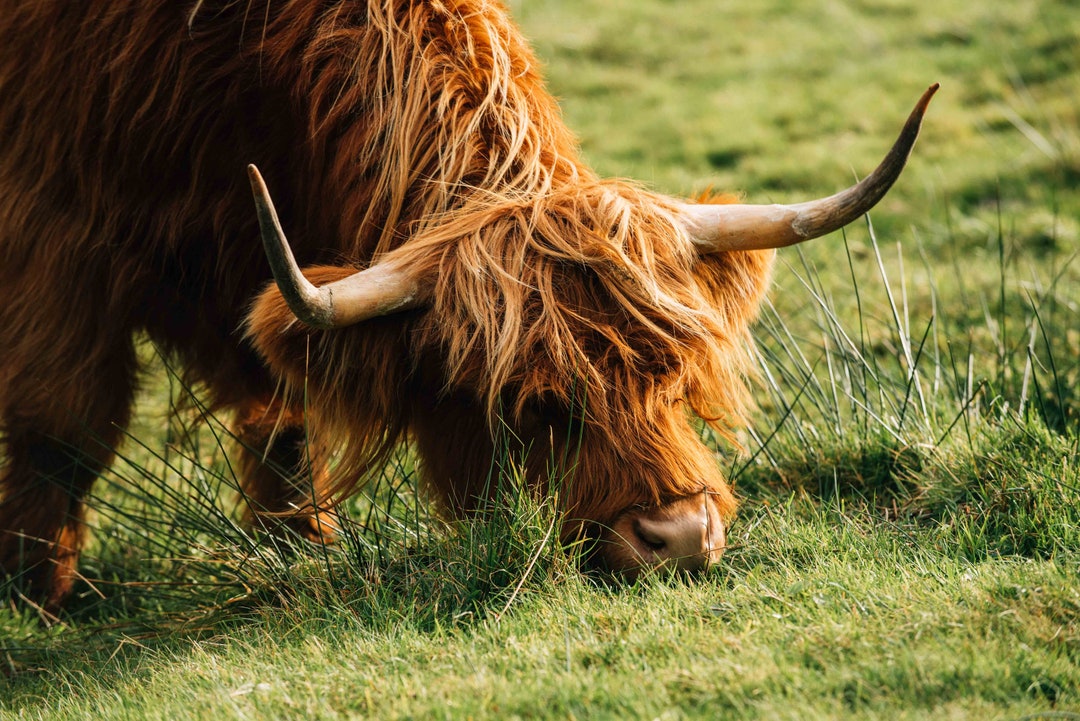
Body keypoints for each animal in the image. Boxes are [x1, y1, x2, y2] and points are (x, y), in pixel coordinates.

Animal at [0, 0, 935, 612]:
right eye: (537, 403)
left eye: (674, 374)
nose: (677, 538)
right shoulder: (49, 232)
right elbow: (63, 427)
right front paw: (41, 597)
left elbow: (282, 415)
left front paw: (299, 545)